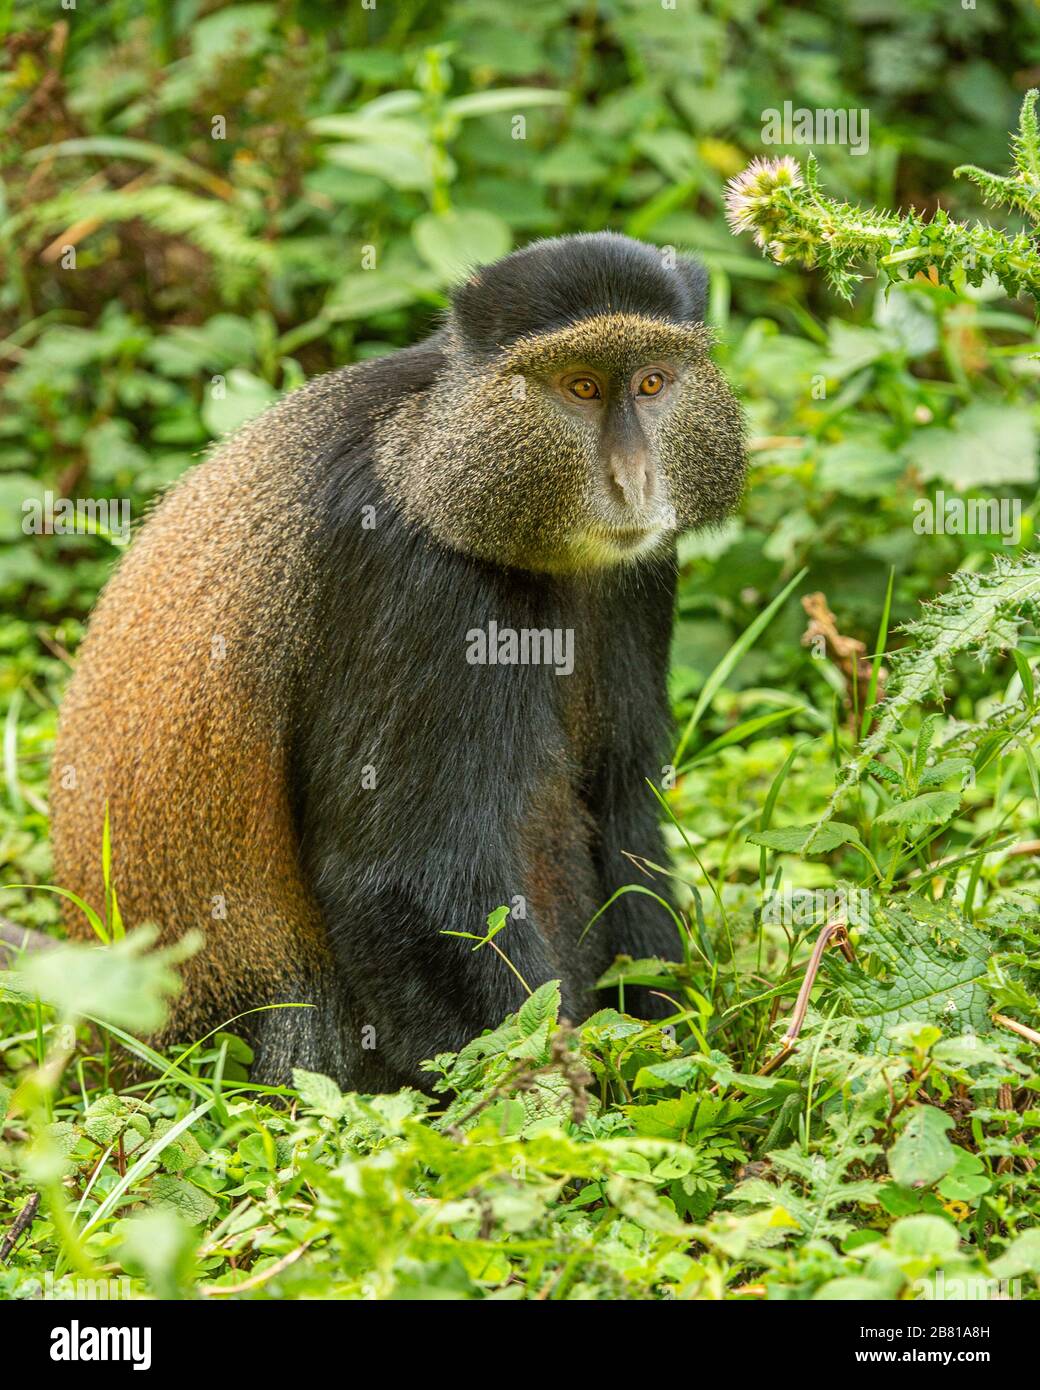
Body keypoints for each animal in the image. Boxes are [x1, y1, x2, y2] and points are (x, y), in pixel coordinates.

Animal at [49, 232, 746, 1091]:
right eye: (579, 387)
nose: (633, 478)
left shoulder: (643, 574)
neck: (439, 456)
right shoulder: (411, 575)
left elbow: (624, 809)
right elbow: (402, 876)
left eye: (652, 383)